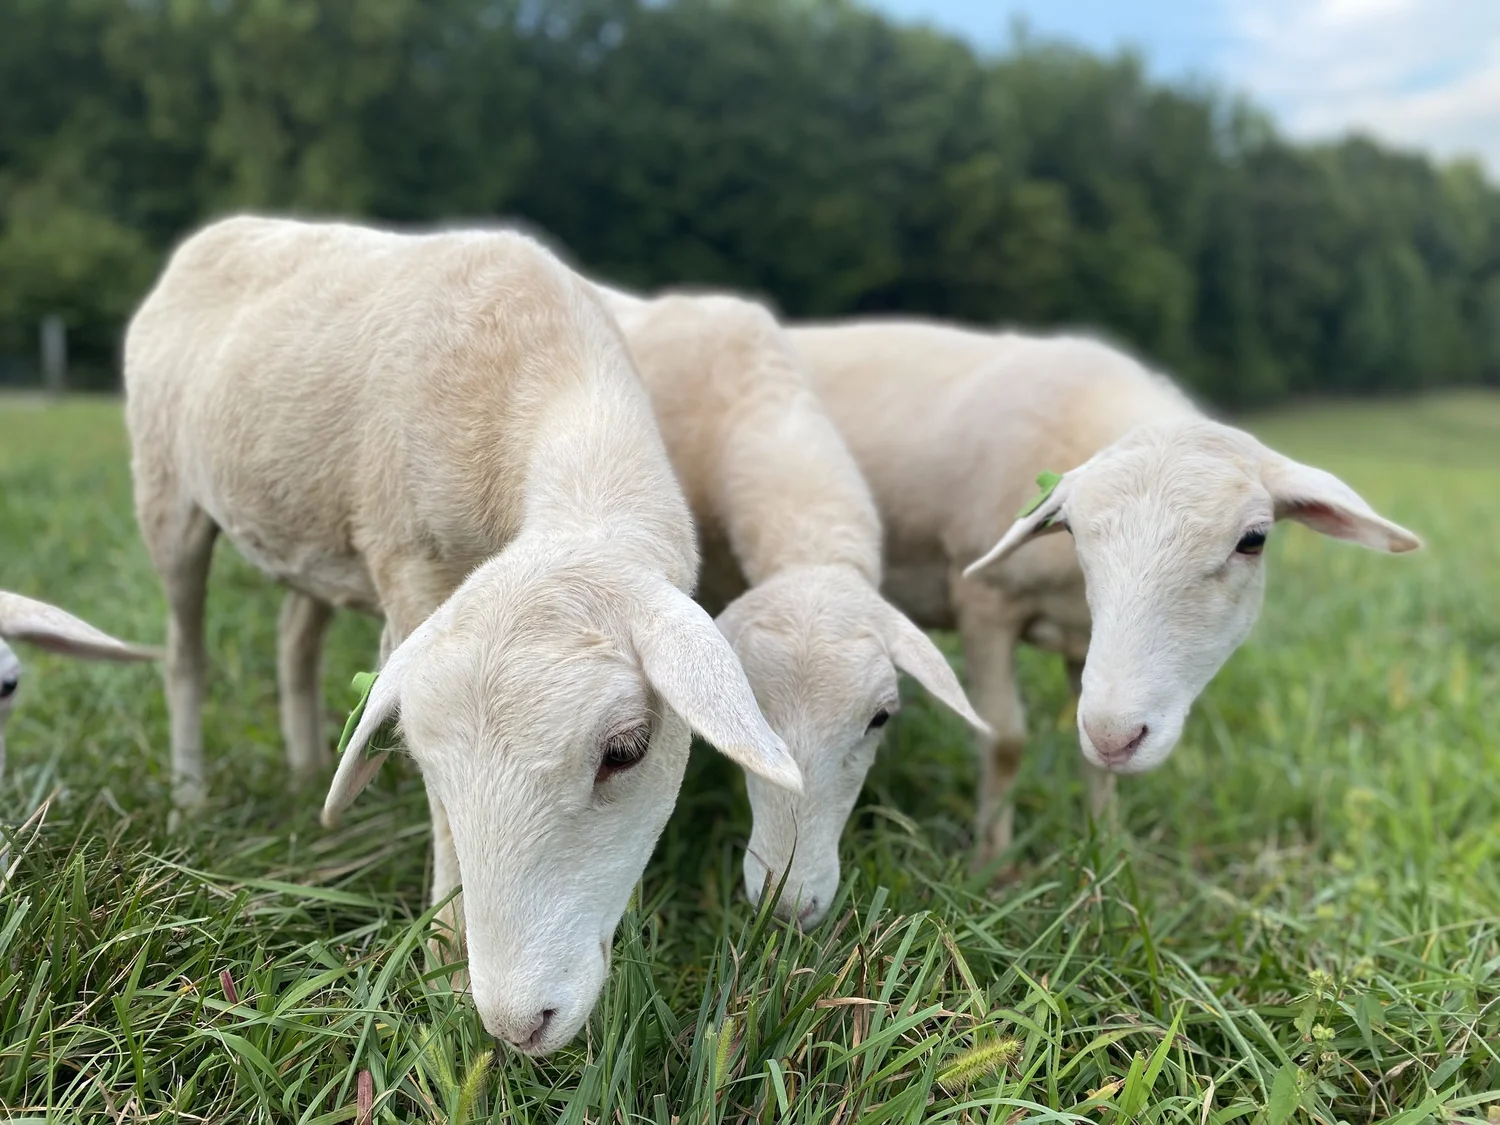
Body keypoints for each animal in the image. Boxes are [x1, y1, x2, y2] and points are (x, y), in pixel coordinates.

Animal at [123, 215, 801, 1055]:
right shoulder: (409, 563)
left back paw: (309, 772)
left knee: (294, 635)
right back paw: (190, 798)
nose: (518, 1023)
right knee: (184, 655)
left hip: (311, 529)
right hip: (167, 491)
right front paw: (445, 965)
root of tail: (224, 228)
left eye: (626, 751)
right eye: (424, 758)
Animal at [790, 319, 1420, 864]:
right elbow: (1006, 740)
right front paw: (993, 865)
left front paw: (1107, 850)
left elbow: (1091, 759)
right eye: (1070, 529)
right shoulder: (984, 601)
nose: (1120, 738)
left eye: (1253, 539)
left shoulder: (1083, 645)